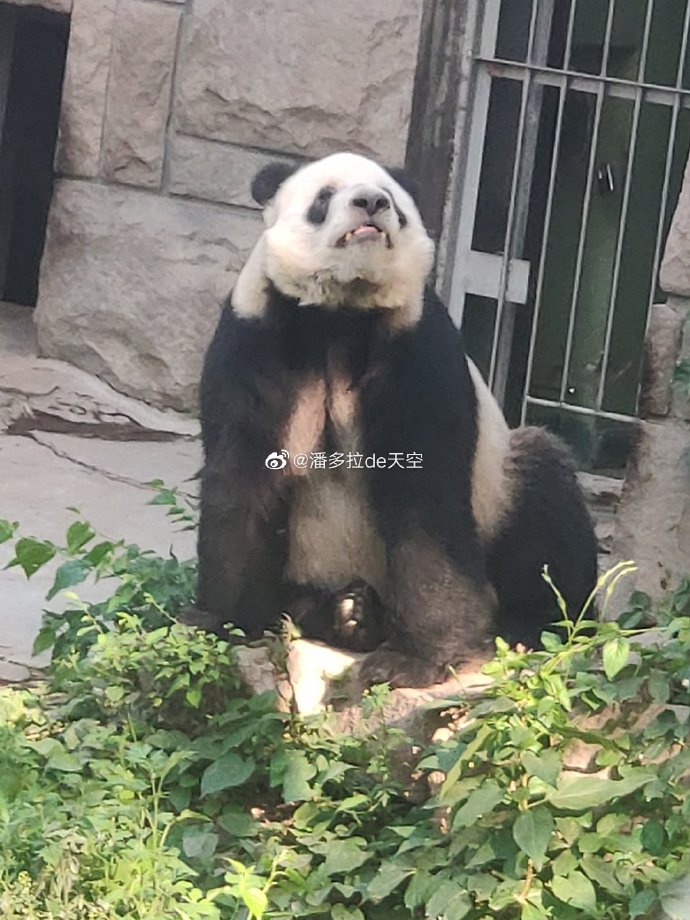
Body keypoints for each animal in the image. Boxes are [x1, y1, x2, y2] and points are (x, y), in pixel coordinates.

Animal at [194, 151, 598, 689]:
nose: (371, 203)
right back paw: (347, 614)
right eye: (324, 197)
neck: (340, 313)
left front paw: (414, 660)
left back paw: (528, 626)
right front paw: (221, 622)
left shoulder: (417, 345)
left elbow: (424, 497)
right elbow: (243, 476)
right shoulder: (257, 335)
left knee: (545, 496)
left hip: (502, 493)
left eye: (392, 200)